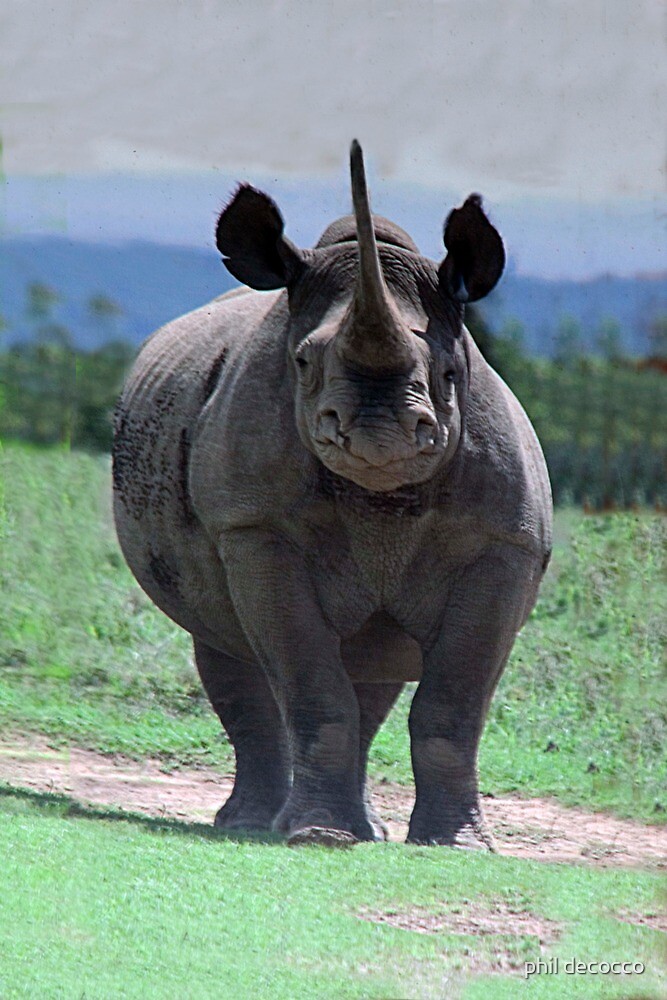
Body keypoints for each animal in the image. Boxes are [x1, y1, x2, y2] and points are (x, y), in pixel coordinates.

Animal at [113, 141, 552, 848]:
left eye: (450, 372)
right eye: (301, 362)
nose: (379, 434)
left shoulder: (504, 543)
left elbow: (452, 704)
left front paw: (458, 844)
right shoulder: (256, 528)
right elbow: (313, 687)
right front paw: (317, 836)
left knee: (373, 667)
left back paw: (361, 828)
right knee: (228, 648)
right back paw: (256, 823)